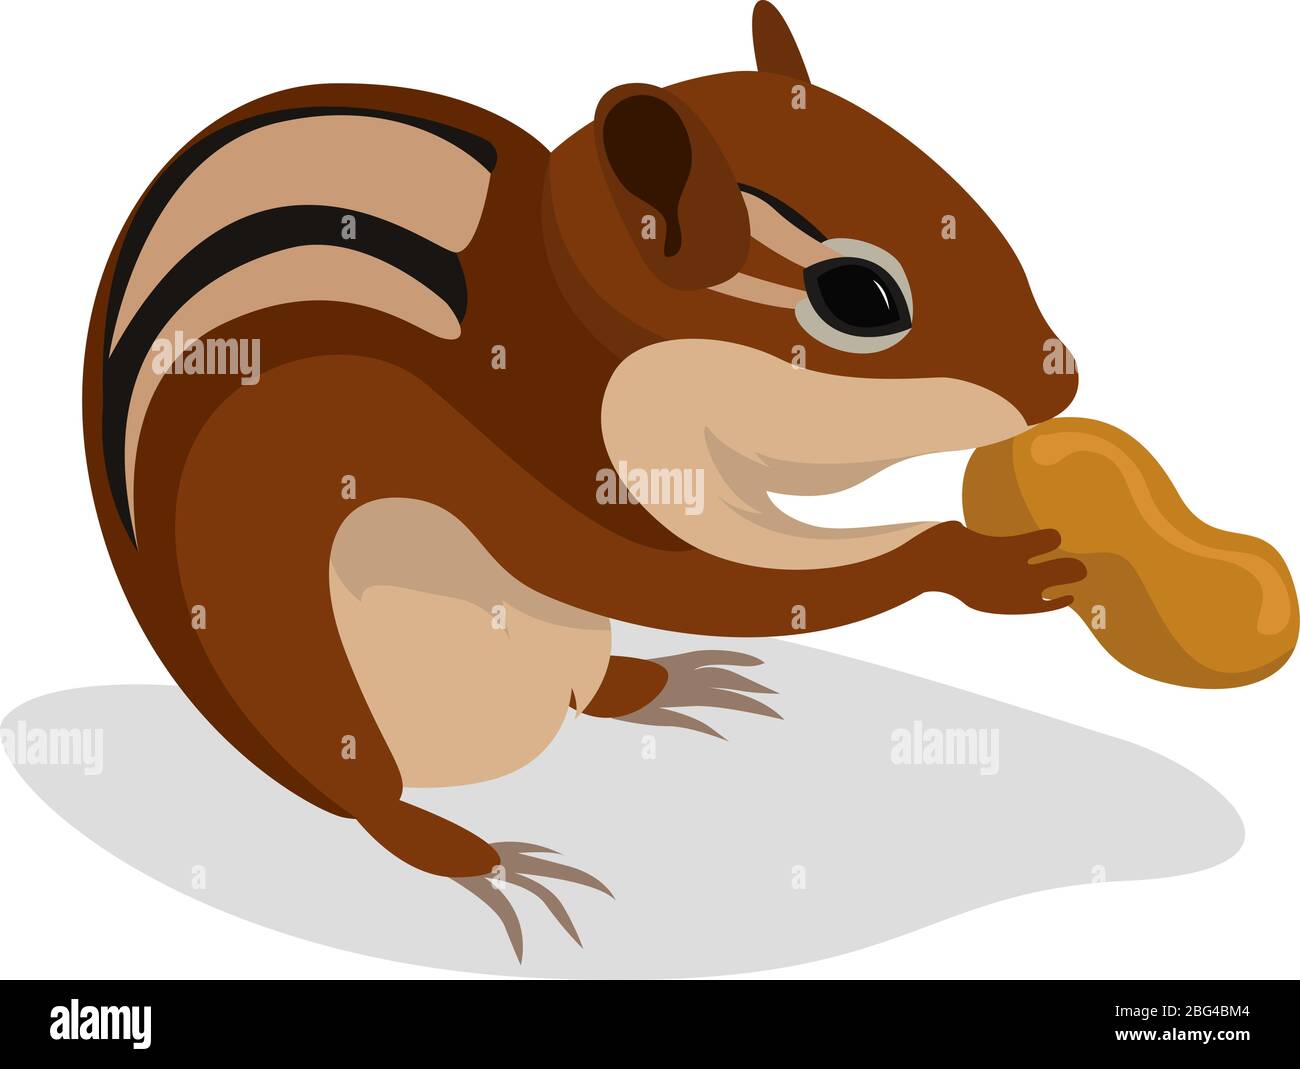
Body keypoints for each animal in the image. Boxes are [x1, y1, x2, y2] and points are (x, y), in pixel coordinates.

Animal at [82, 3, 1084, 957]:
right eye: (859, 298)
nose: (1061, 379)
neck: (582, 337)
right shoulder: (526, 472)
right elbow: (687, 581)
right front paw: (971, 563)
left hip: (563, 645)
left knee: (592, 690)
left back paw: (668, 684)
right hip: (309, 683)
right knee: (370, 796)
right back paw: (482, 859)